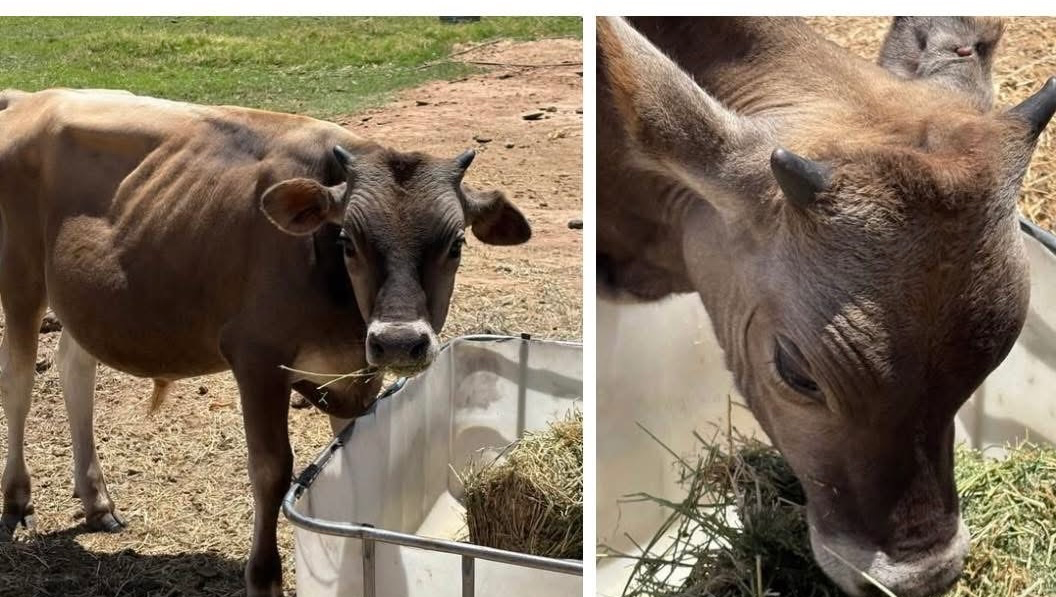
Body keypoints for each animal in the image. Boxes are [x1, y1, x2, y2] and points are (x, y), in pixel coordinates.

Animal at [0, 88, 530, 596]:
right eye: (348, 241)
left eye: (456, 244)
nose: (399, 342)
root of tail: (32, 98)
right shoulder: (255, 358)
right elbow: (271, 469)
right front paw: (264, 577)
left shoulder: (353, 372)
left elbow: (353, 453)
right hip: (21, 281)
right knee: (19, 383)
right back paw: (17, 498)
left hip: (86, 302)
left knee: (75, 369)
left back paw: (97, 501)